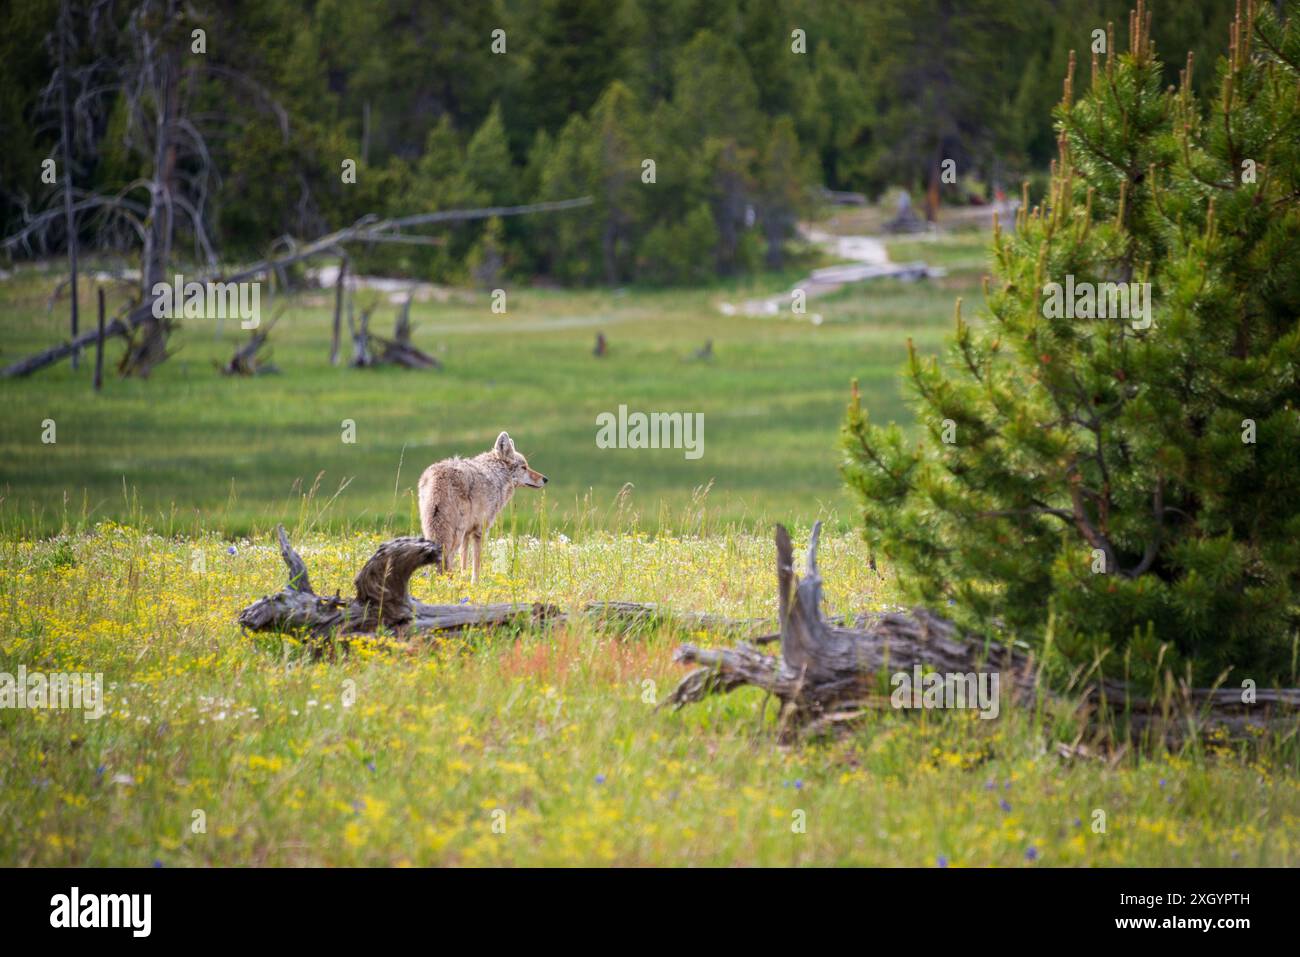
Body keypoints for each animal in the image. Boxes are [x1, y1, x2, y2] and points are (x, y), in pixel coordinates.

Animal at [417, 432, 547, 582]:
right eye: (524, 467)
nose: (545, 479)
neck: (497, 475)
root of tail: (438, 478)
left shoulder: (468, 533)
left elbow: (464, 563)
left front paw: (464, 580)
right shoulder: (481, 530)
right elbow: (477, 563)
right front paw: (476, 583)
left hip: (435, 531)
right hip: (455, 535)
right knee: (447, 560)